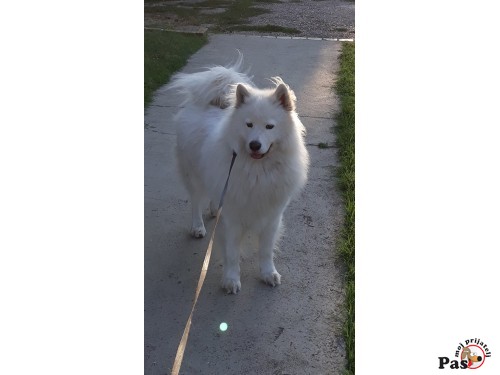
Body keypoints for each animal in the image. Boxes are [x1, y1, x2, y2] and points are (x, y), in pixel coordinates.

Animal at [171, 57, 308, 296]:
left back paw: (214, 210)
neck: (258, 170)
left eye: (269, 126)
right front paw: (231, 280)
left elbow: (266, 250)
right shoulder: (233, 219)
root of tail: (208, 103)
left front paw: (268, 273)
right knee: (196, 201)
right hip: (193, 175)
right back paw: (197, 226)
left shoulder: (272, 216)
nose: (254, 144)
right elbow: (232, 253)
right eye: (249, 124)